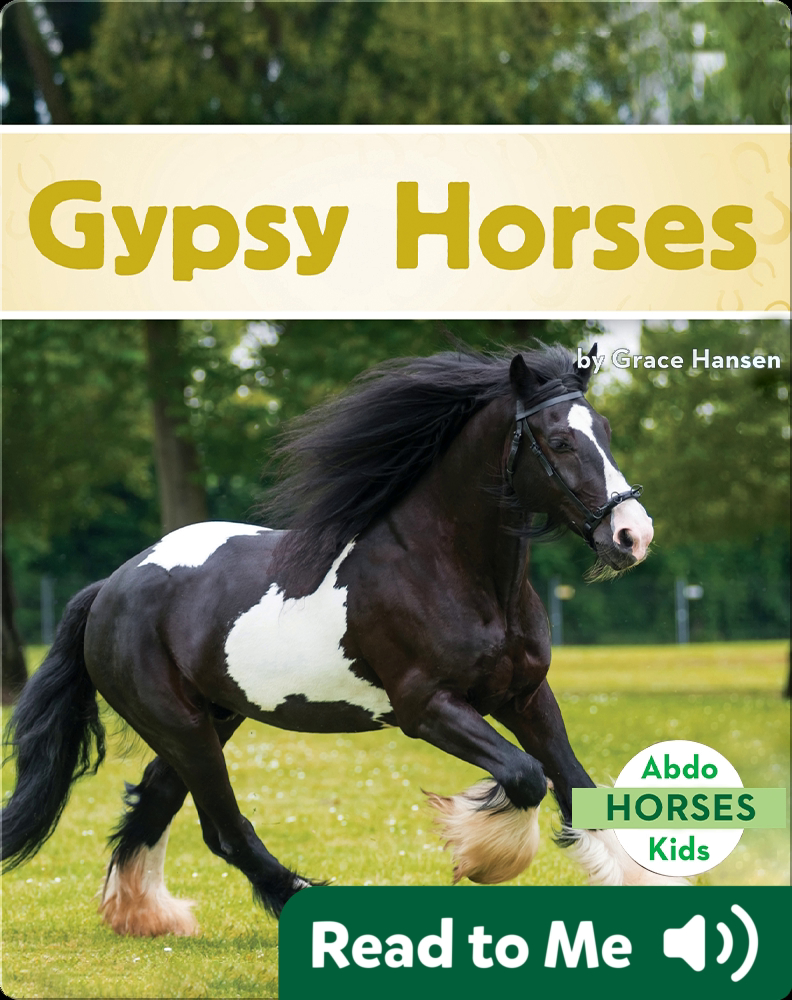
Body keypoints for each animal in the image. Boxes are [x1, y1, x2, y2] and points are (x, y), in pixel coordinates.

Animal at [1, 341, 686, 939]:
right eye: (560, 439)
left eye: (607, 431)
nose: (632, 535)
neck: (449, 570)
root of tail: (110, 586)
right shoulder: (427, 708)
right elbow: (525, 777)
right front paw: (481, 853)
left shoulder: (526, 697)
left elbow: (575, 784)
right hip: (179, 725)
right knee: (223, 830)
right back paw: (298, 901)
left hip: (211, 718)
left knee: (155, 800)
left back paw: (146, 916)